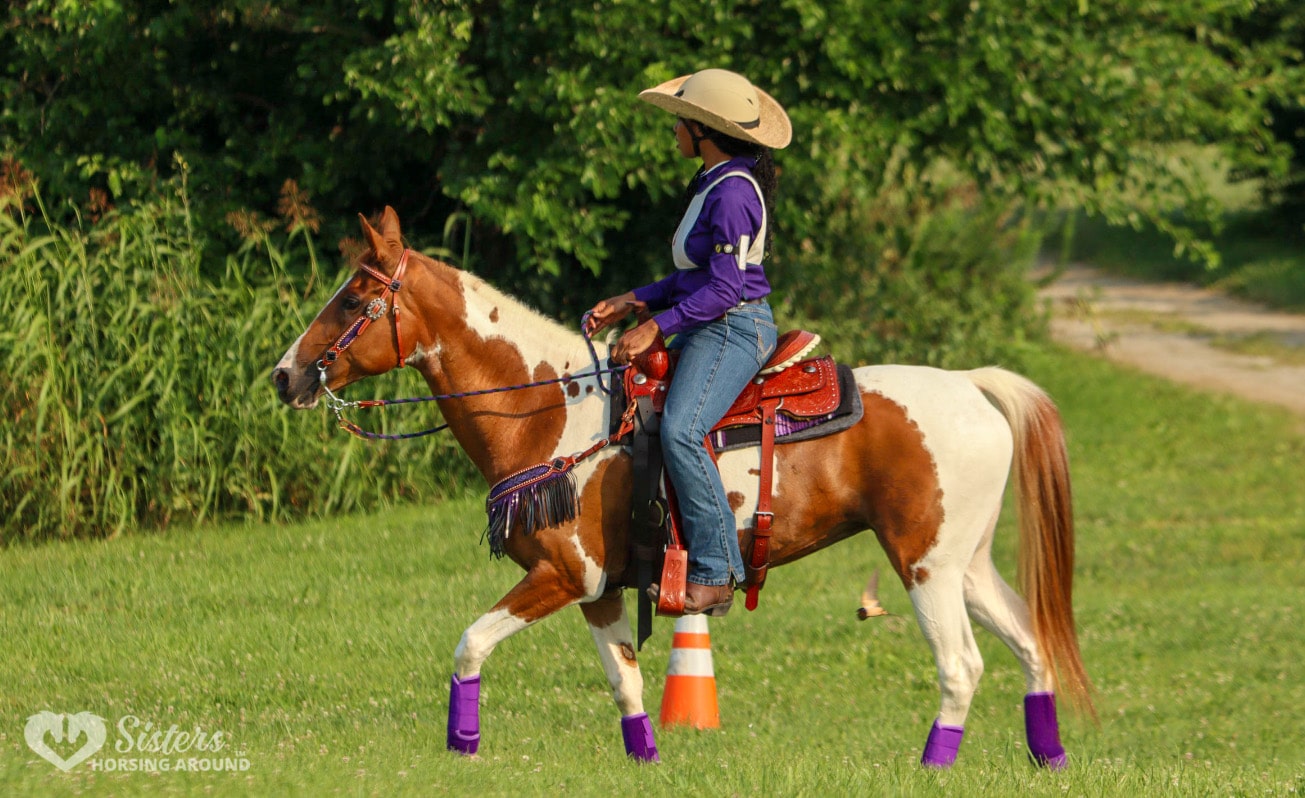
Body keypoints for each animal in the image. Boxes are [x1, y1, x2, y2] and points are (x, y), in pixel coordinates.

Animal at [271, 207, 1094, 767]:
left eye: (353, 301)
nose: (284, 375)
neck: (553, 412)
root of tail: (972, 385)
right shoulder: (599, 589)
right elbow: (627, 687)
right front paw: (646, 759)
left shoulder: (561, 574)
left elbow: (470, 643)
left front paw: (462, 746)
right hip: (968, 565)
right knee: (1031, 647)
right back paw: (1046, 758)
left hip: (925, 566)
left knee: (962, 666)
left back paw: (933, 765)